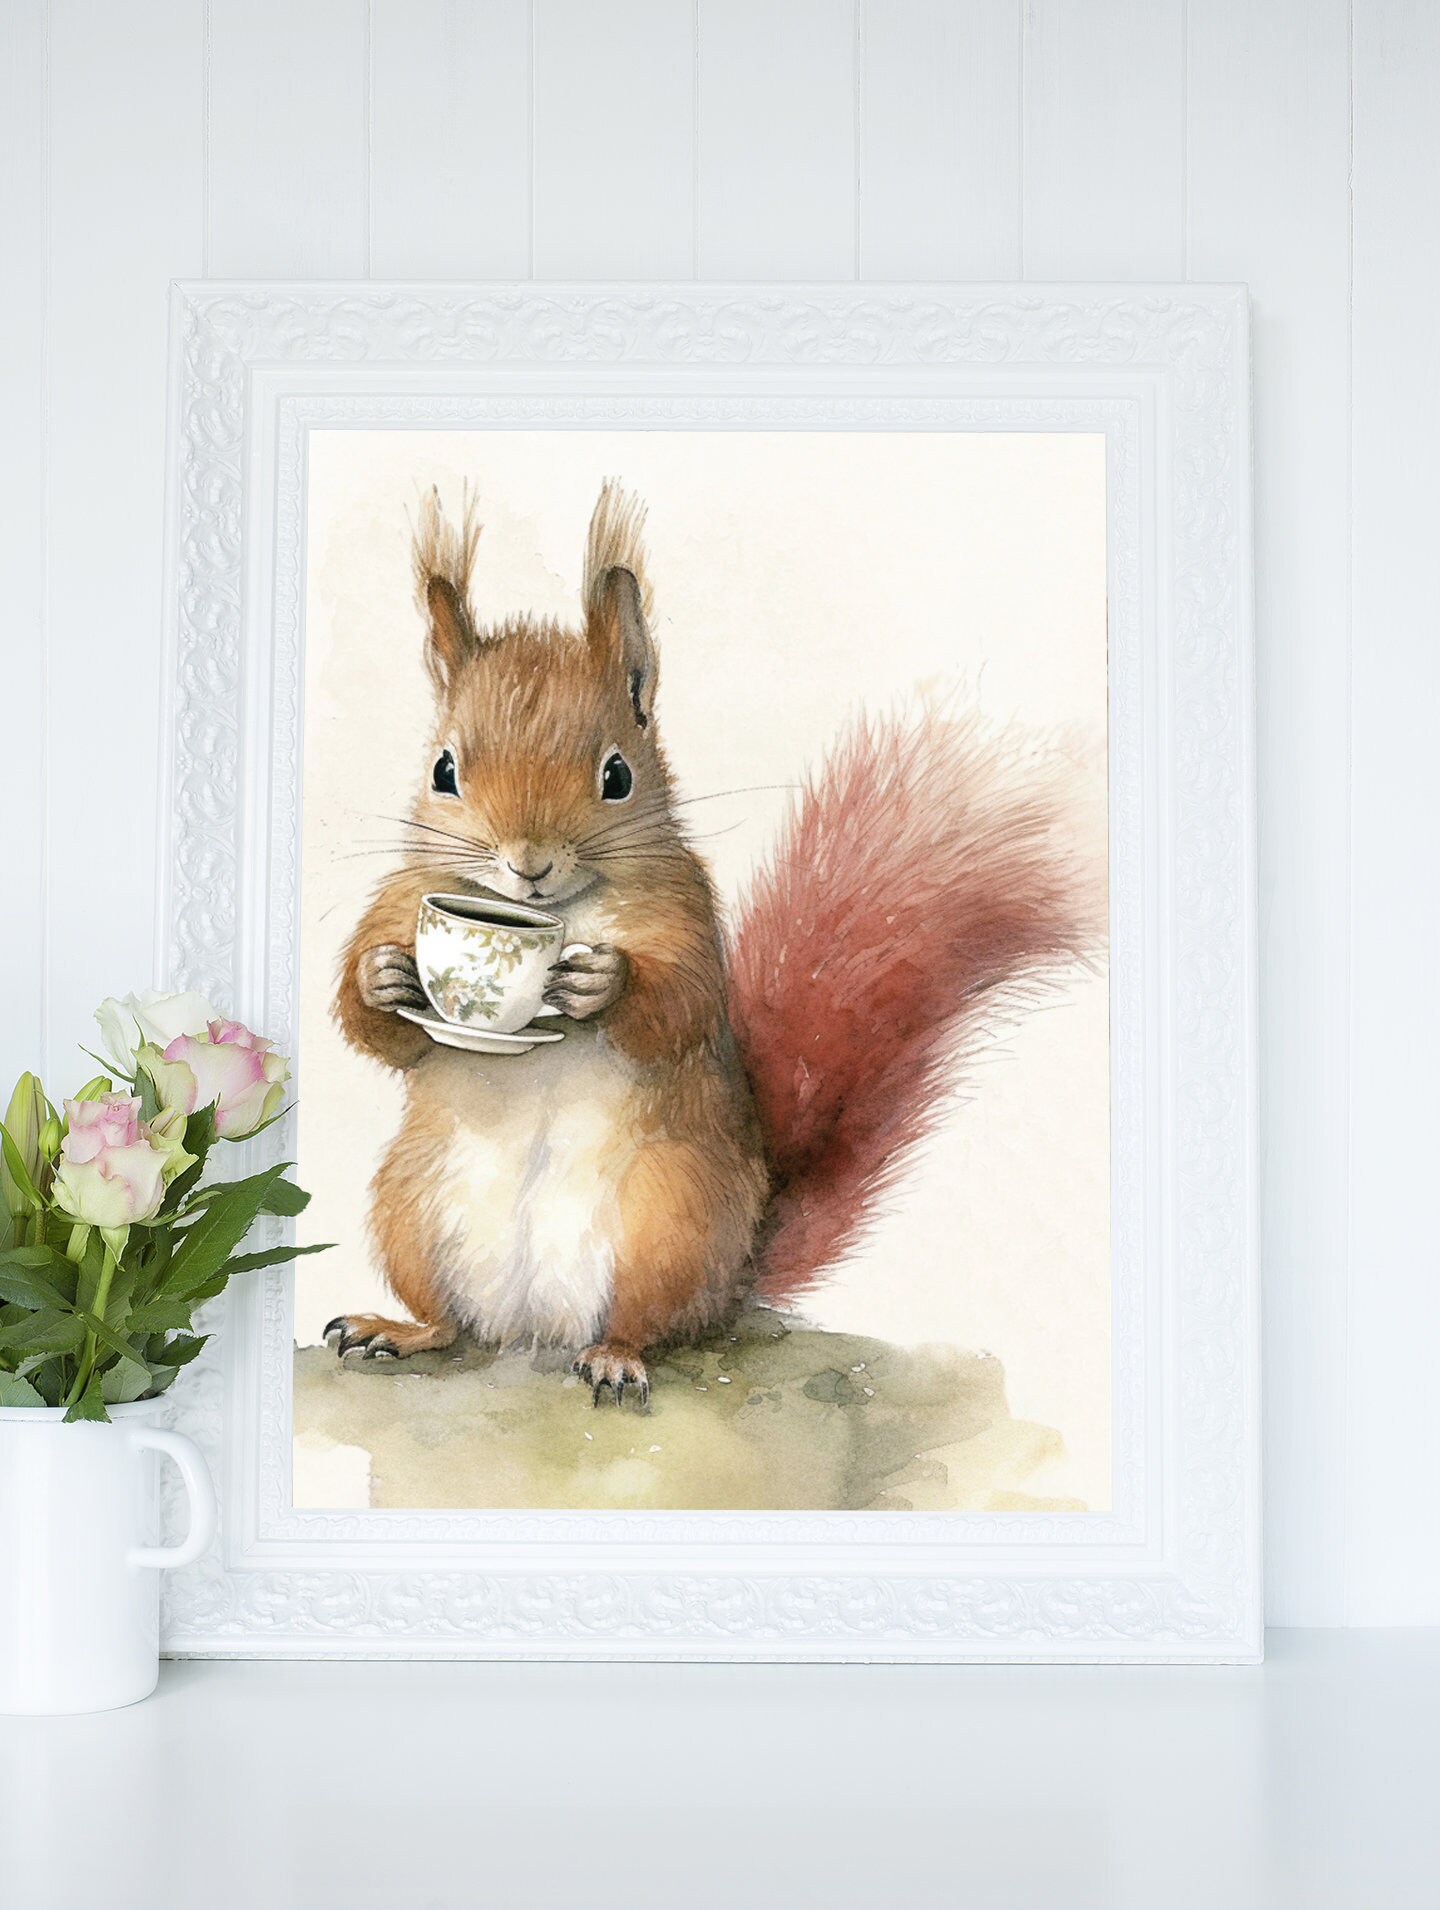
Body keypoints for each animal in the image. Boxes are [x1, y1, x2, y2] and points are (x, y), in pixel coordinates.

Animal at [327, 481, 1101, 1407]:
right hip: (408, 1203)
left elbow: (684, 1004)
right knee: (451, 1321)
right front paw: (382, 978)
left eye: (617, 775)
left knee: (648, 1319)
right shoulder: (401, 897)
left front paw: (604, 984)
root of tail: (535, 1326)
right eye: (444, 771)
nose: (528, 864)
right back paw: (398, 1329)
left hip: (671, 1215)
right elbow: (372, 1027)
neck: (565, 912)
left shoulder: (689, 917)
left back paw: (615, 1356)